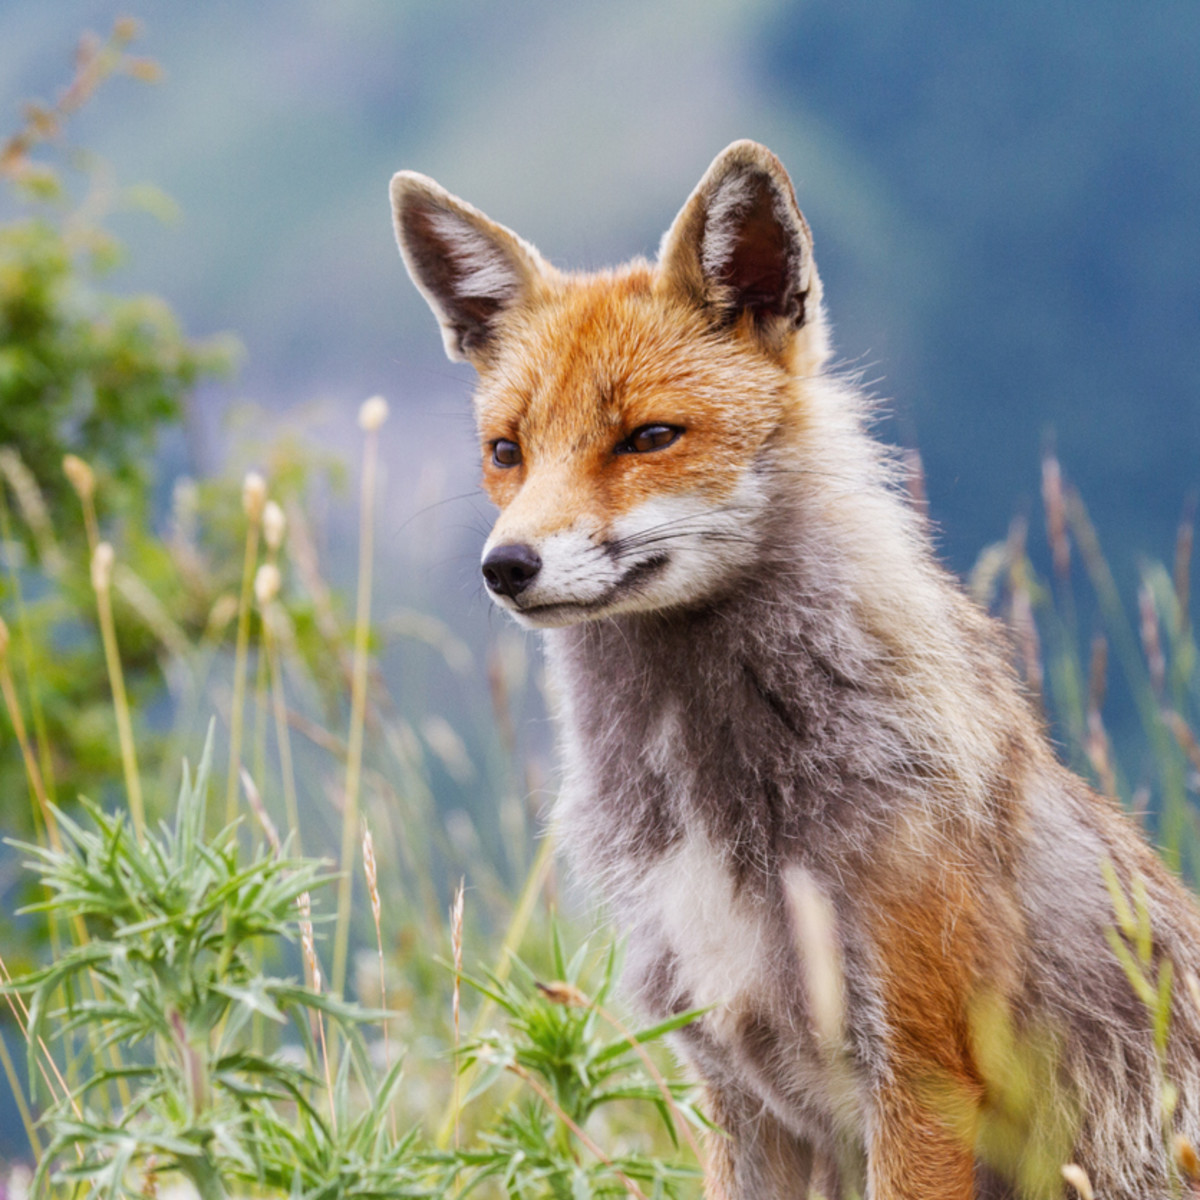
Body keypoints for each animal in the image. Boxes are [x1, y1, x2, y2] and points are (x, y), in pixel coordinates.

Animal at [389, 141, 1200, 1199]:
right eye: (506, 452)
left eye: (650, 437)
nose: (506, 566)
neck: (704, 796)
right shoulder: (735, 1092)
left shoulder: (920, 1080)